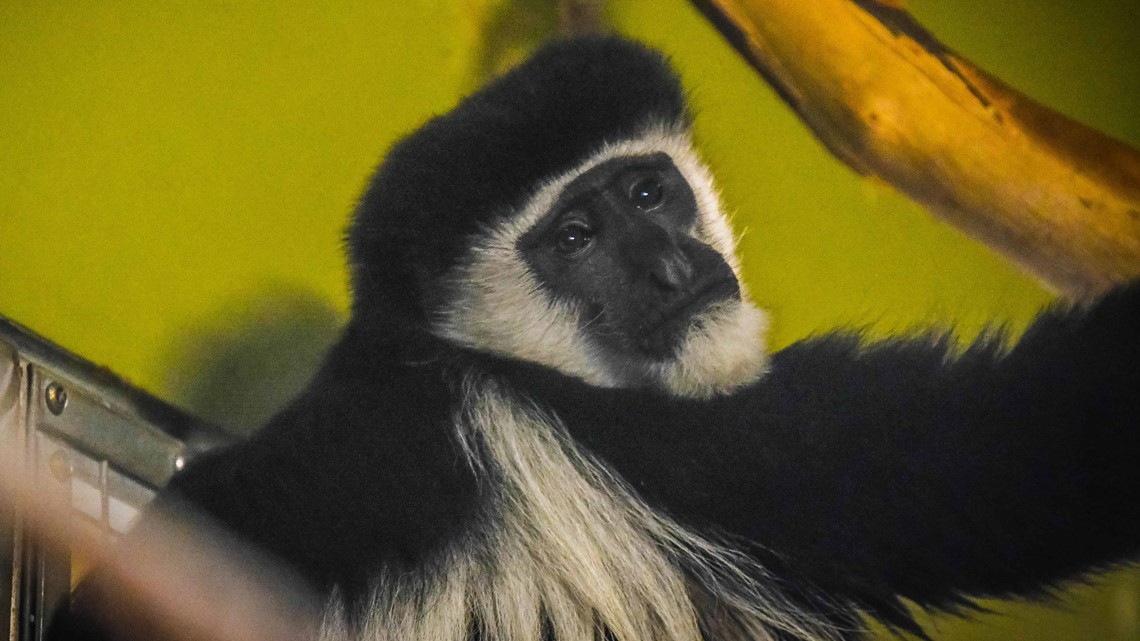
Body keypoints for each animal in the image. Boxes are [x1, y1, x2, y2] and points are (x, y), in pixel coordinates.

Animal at [49, 36, 1140, 641]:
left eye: (648, 193)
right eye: (573, 238)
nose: (671, 270)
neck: (448, 350)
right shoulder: (670, 461)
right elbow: (1003, 458)